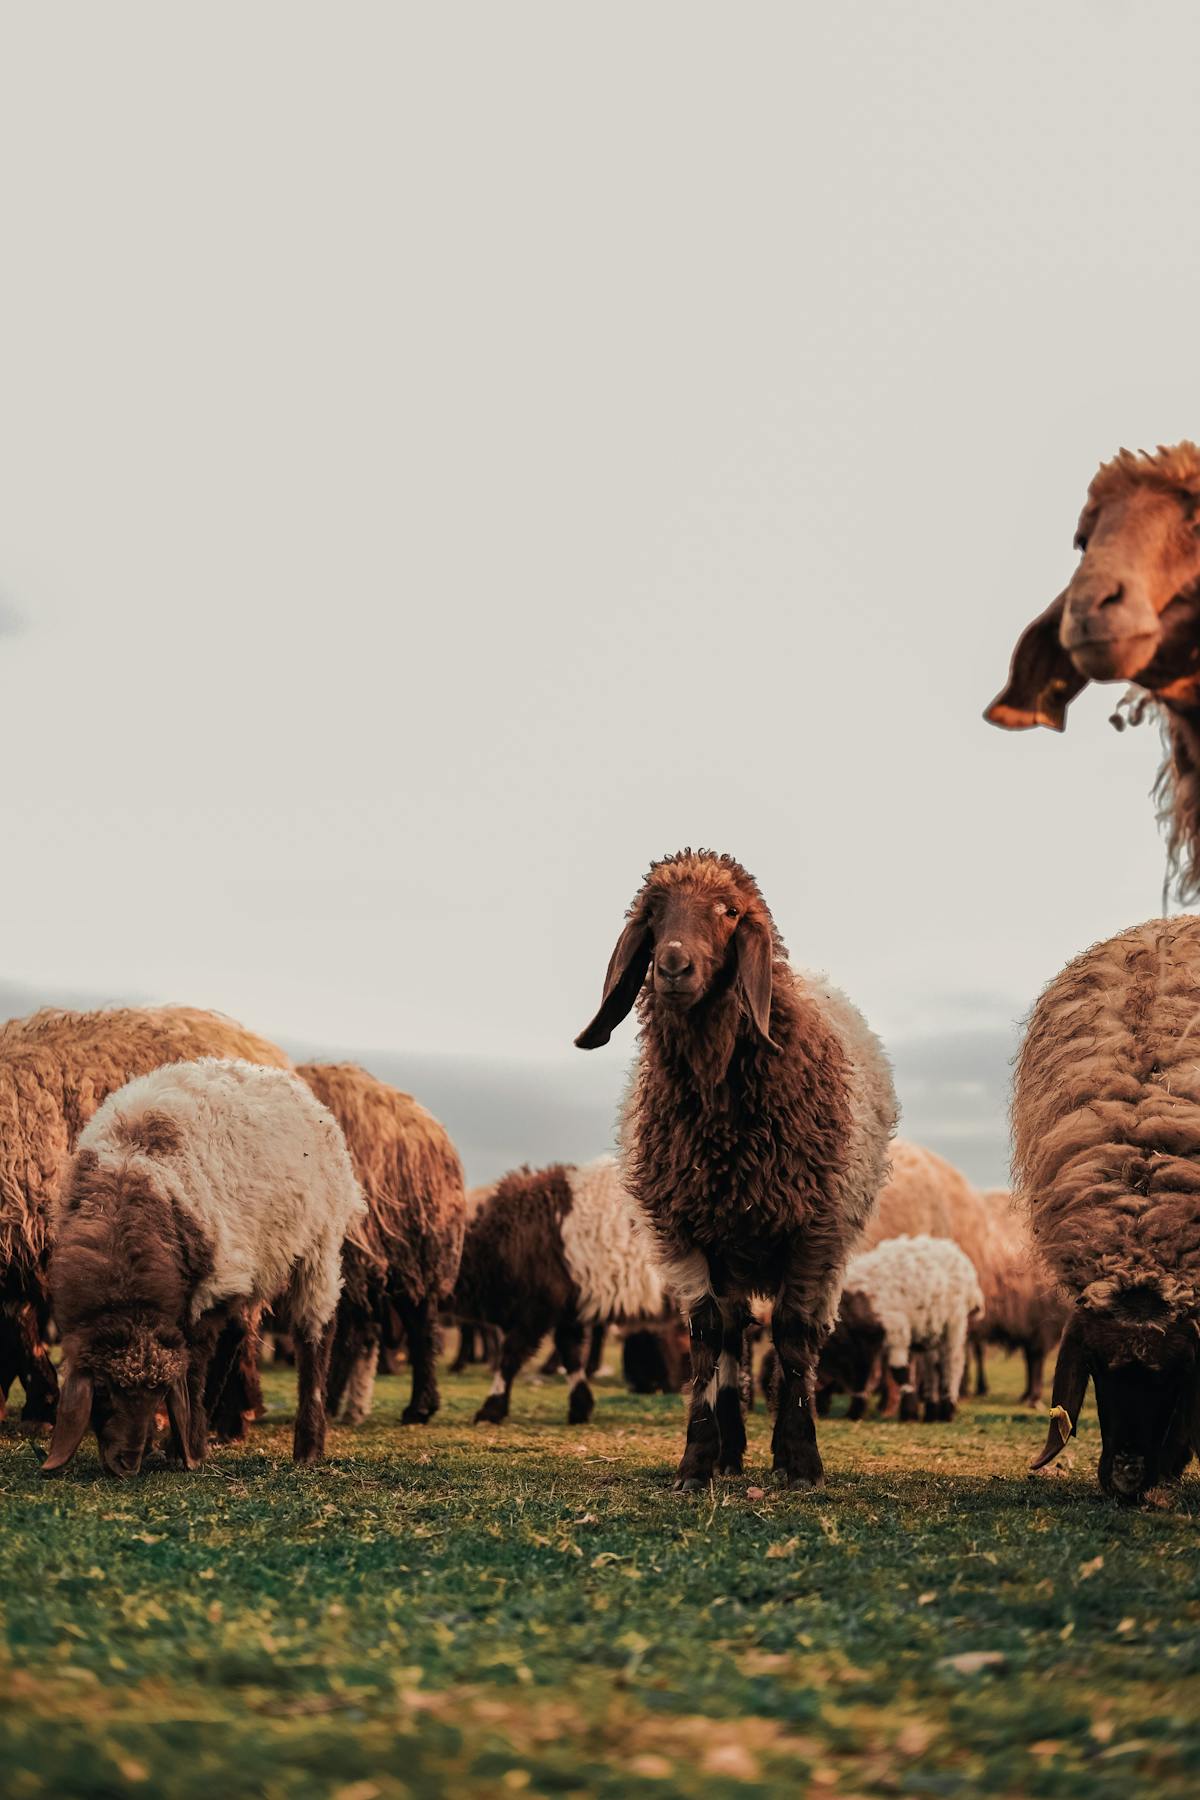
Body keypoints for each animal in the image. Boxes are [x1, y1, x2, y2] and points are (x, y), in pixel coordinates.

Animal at [40, 1058, 364, 1477]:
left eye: (158, 1391)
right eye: (104, 1389)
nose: (128, 1463)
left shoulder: (210, 1289)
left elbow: (192, 1369)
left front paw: (182, 1450)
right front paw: (180, 1442)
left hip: (319, 1245)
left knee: (315, 1334)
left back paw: (308, 1445)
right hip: (254, 1260)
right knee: (237, 1334)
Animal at [452, 1154, 666, 1426]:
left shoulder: (538, 1306)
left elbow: (510, 1355)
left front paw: (491, 1409)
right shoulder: (568, 1309)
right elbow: (571, 1354)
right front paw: (580, 1407)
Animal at [575, 848, 897, 1492]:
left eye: (728, 911)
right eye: (653, 912)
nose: (673, 965)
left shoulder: (812, 1230)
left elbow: (793, 1337)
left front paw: (800, 1460)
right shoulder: (683, 1231)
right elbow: (705, 1338)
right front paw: (697, 1462)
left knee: (800, 1337)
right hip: (730, 1250)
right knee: (732, 1334)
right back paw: (729, 1450)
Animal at [821, 1235, 984, 1422]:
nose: (818, 1409)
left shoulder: (896, 1330)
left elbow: (899, 1371)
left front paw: (909, 1412)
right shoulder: (865, 1342)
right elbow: (863, 1374)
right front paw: (855, 1411)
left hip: (954, 1324)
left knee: (952, 1362)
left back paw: (947, 1409)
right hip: (930, 1330)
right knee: (932, 1367)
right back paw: (931, 1412)